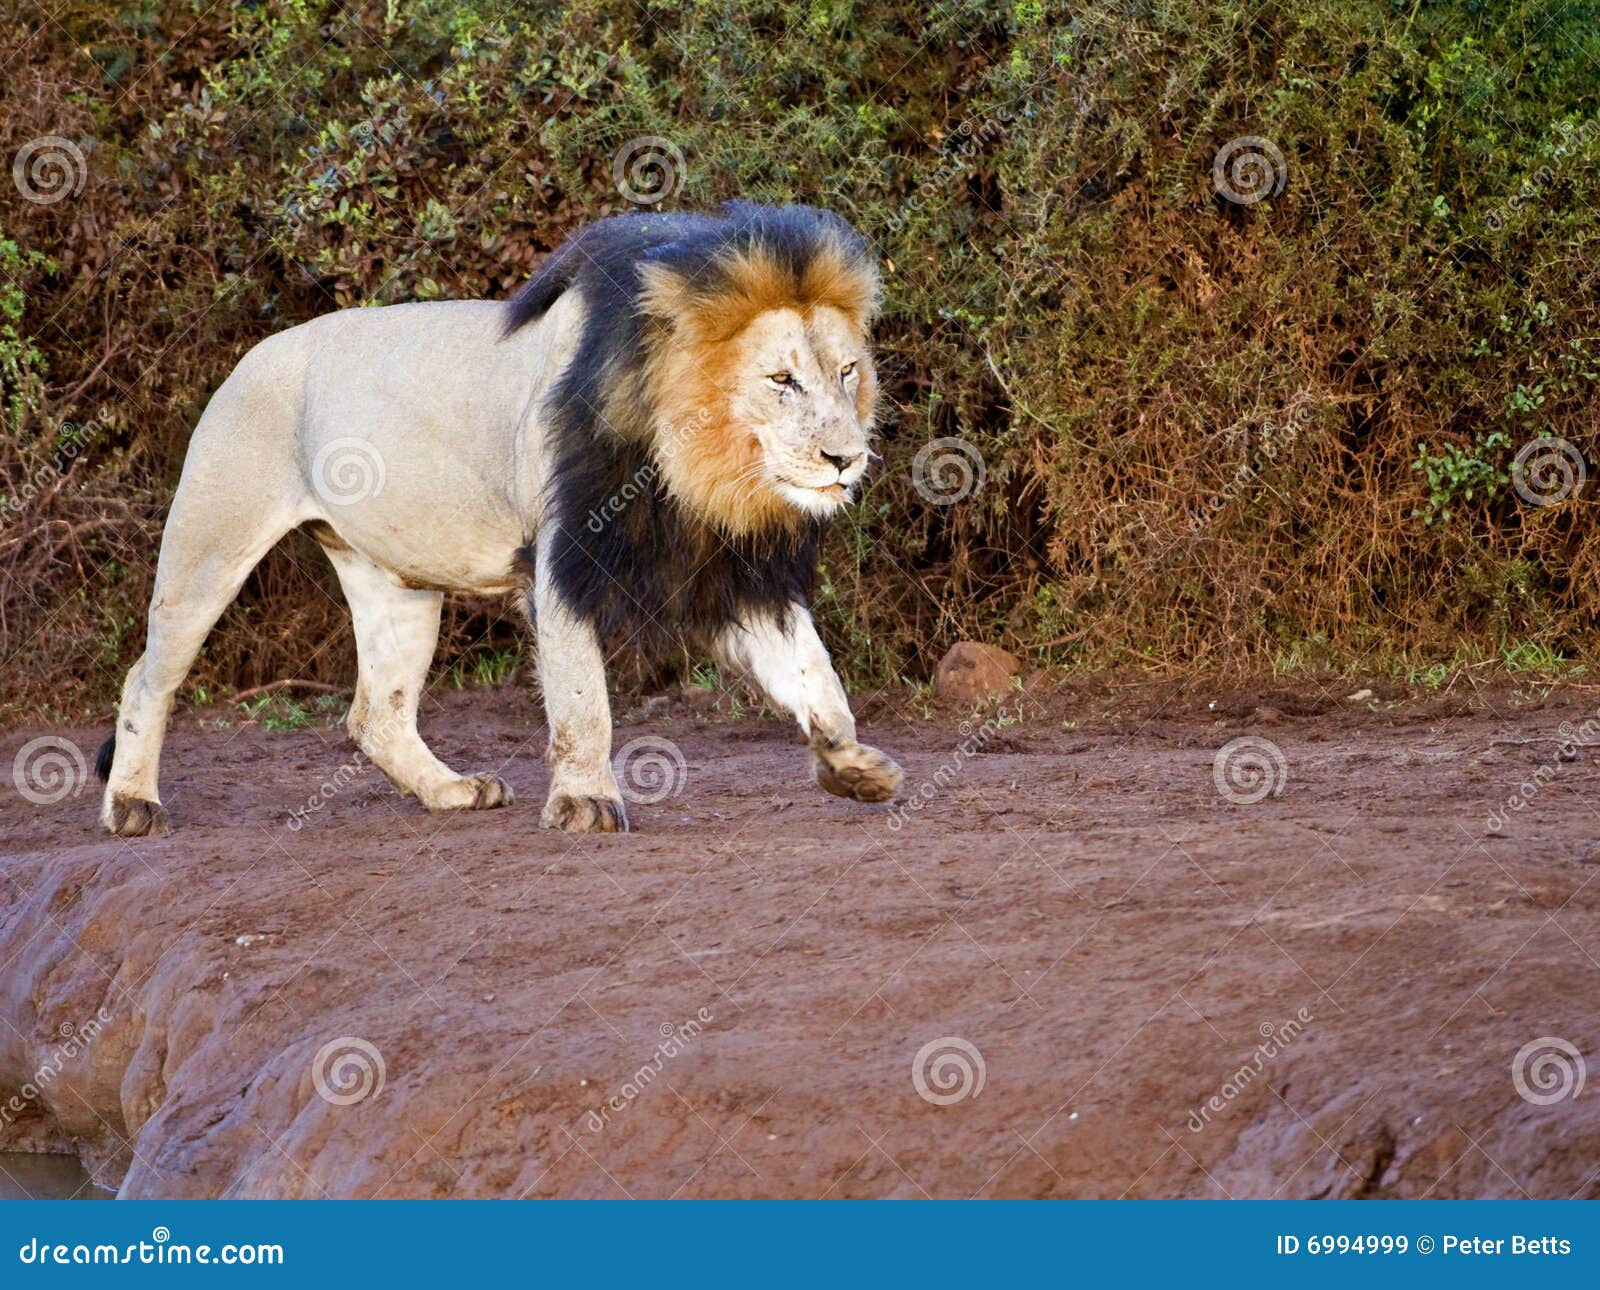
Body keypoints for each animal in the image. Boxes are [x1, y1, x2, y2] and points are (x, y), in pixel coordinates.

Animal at [95, 202, 903, 835]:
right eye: (781, 379)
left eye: (847, 371)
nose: (846, 458)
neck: (701, 475)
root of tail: (252, 353)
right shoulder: (562, 560)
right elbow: (583, 700)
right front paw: (586, 804)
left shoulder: (730, 572)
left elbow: (816, 674)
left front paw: (851, 766)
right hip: (210, 546)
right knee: (146, 679)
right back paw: (132, 805)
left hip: (397, 585)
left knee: (376, 715)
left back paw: (453, 792)